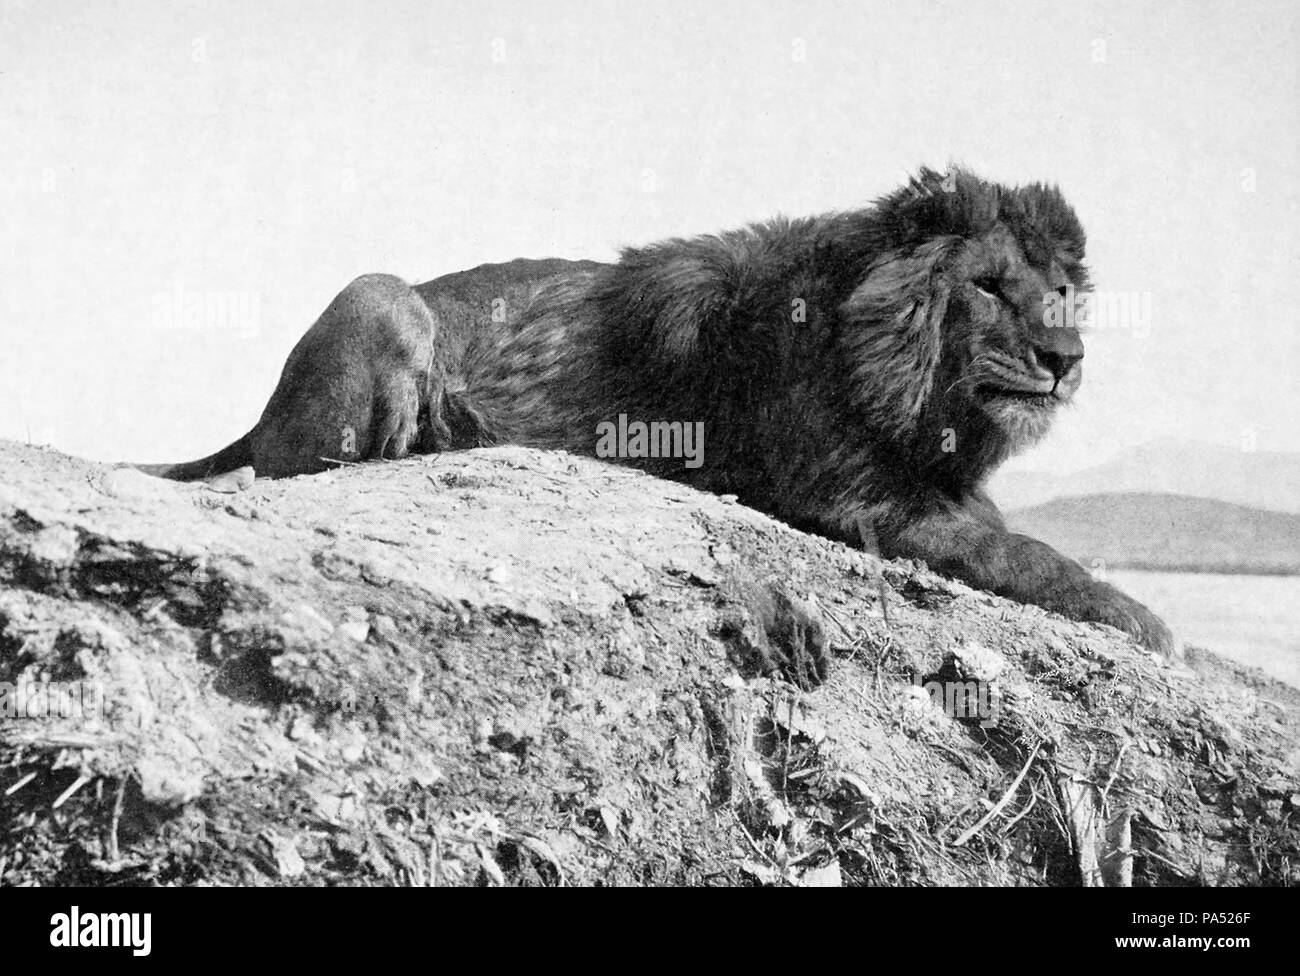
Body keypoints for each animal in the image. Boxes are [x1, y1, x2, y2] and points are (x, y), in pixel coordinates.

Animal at [134, 167, 1175, 659]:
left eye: (1063, 290)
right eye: (991, 287)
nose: (1066, 361)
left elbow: (1013, 535)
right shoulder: (850, 498)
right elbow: (1024, 554)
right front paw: (1145, 619)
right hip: (381, 294)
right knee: (302, 460)